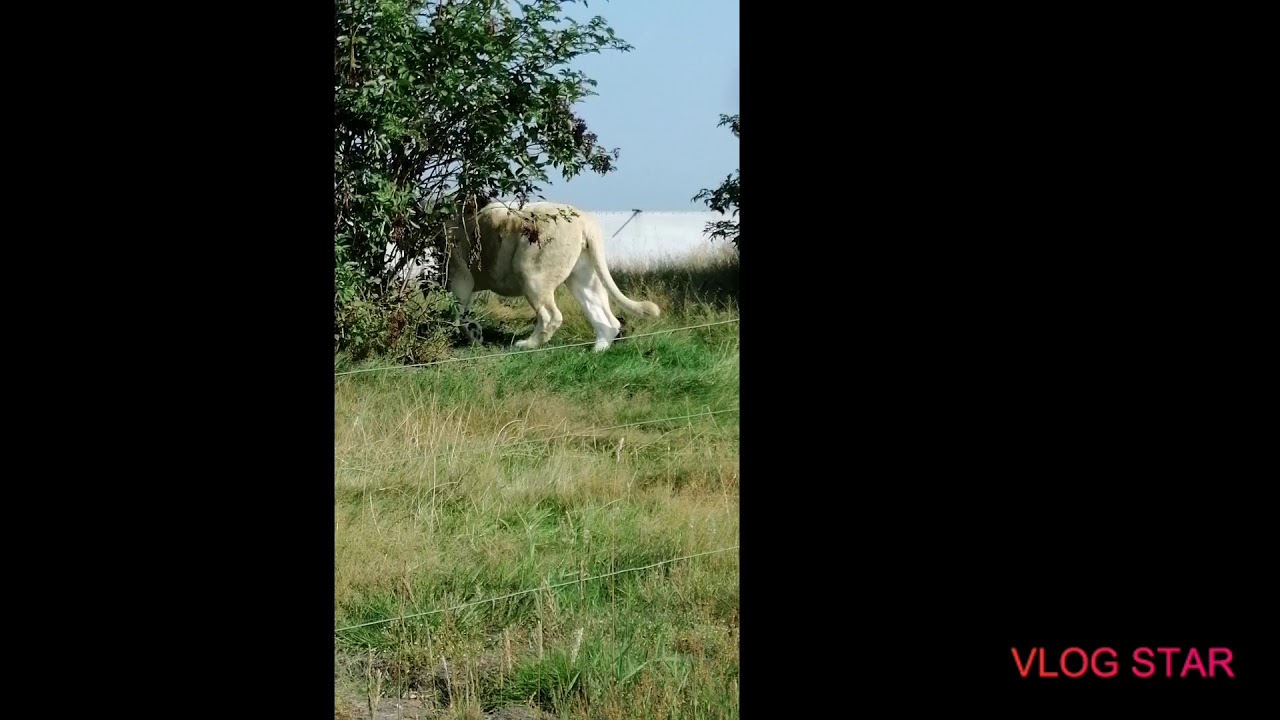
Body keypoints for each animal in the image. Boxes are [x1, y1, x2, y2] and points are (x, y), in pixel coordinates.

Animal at [443, 199, 661, 352]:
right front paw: (474, 334)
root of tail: (585, 221)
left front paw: (459, 333)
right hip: (583, 277)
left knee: (551, 315)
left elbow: (457, 310)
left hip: (531, 272)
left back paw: (527, 345)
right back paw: (597, 350)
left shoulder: (460, 275)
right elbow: (463, 311)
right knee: (607, 318)